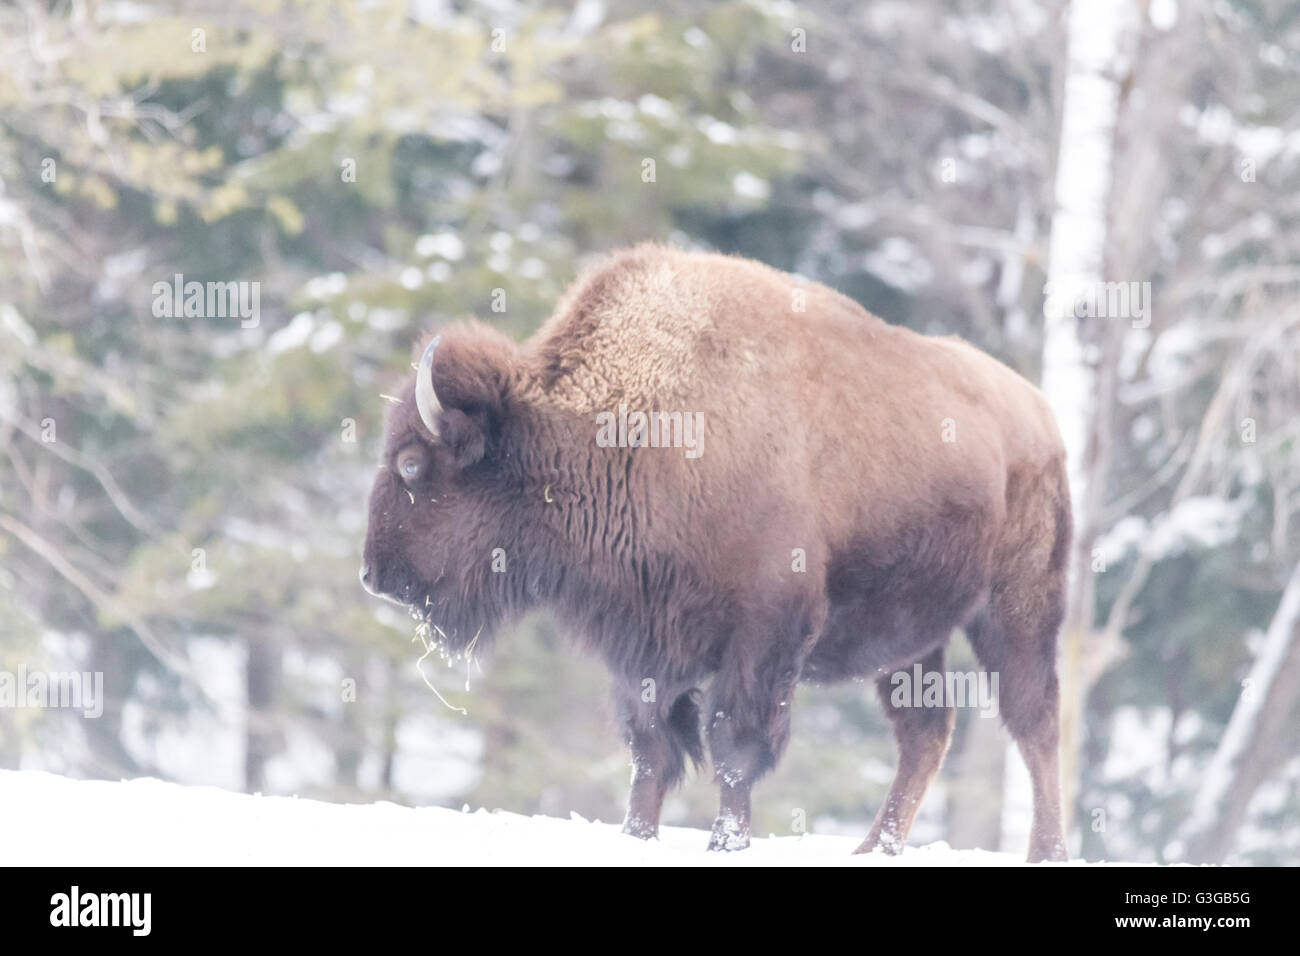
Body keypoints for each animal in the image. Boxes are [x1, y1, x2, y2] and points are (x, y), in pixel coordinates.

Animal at [361, 244, 1071, 861]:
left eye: (413, 464)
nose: (372, 575)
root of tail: (1040, 415)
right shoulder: (644, 649)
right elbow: (651, 752)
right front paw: (636, 836)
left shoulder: (762, 637)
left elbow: (734, 747)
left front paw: (726, 844)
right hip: (912, 640)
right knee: (926, 733)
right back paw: (873, 849)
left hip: (1016, 611)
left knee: (1034, 721)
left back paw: (1045, 851)